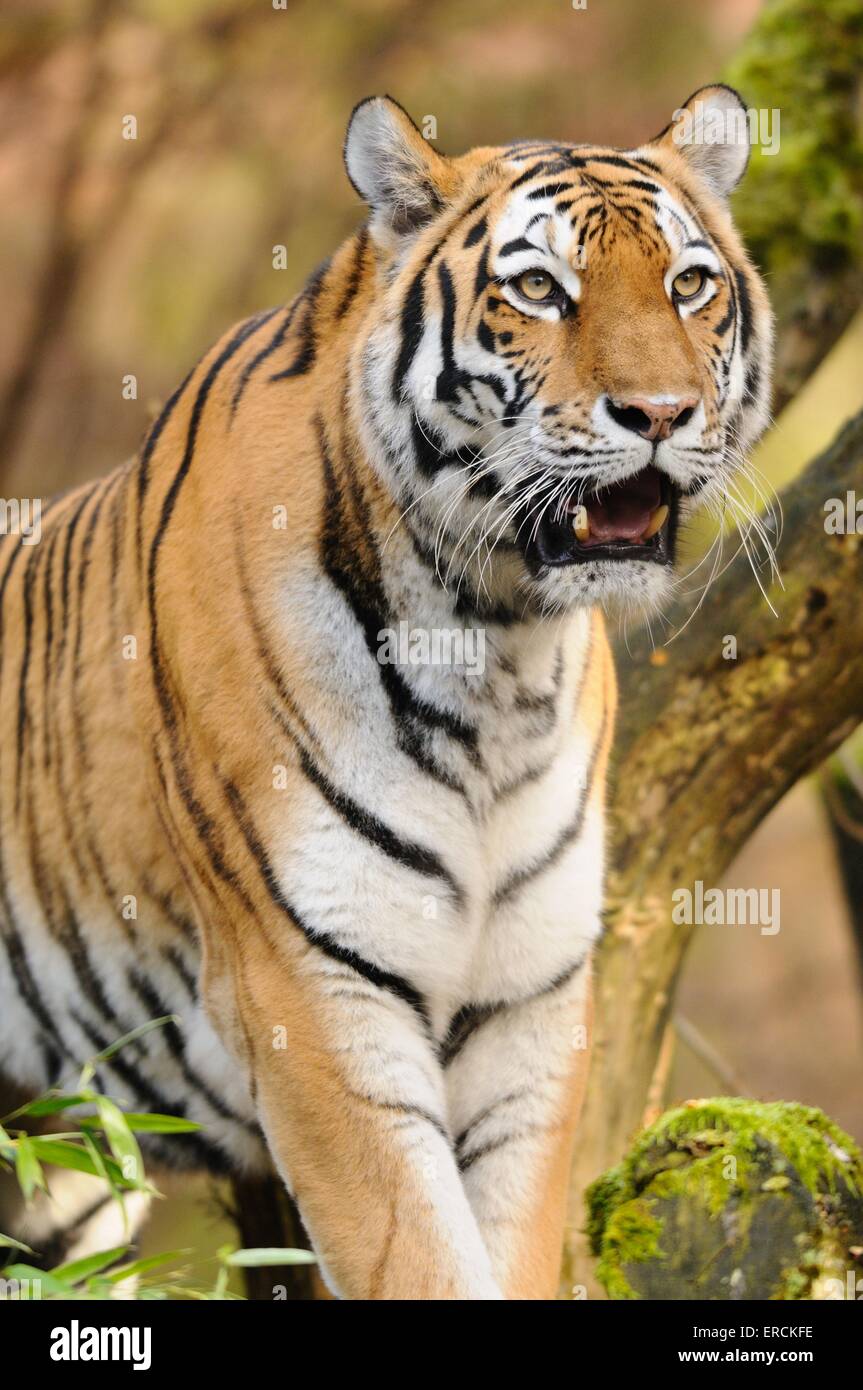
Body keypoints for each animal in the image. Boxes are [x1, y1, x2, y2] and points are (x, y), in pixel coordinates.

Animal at [0, 84, 772, 1300]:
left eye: (688, 285)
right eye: (537, 290)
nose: (658, 413)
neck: (497, 646)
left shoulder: (529, 1006)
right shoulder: (314, 994)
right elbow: (419, 1256)